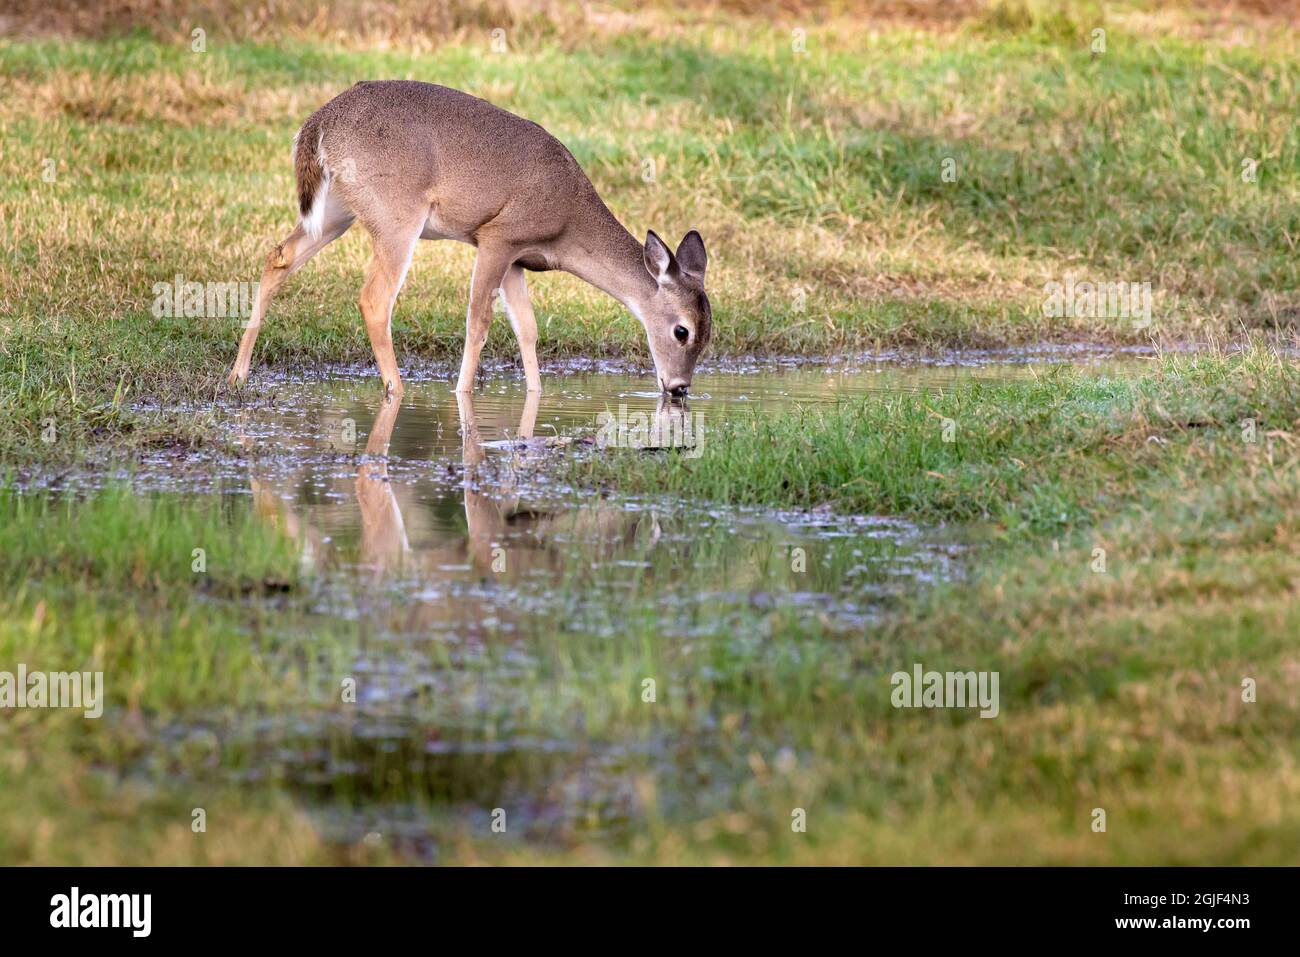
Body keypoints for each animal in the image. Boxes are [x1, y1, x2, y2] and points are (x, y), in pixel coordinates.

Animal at [227, 80, 712, 399]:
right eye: (682, 331)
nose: (679, 388)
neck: (567, 223)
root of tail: (319, 124)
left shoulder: (517, 258)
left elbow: (527, 328)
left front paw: (537, 394)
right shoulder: (497, 236)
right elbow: (478, 323)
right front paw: (463, 394)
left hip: (336, 210)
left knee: (278, 257)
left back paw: (239, 375)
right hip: (396, 214)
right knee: (374, 299)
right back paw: (396, 388)